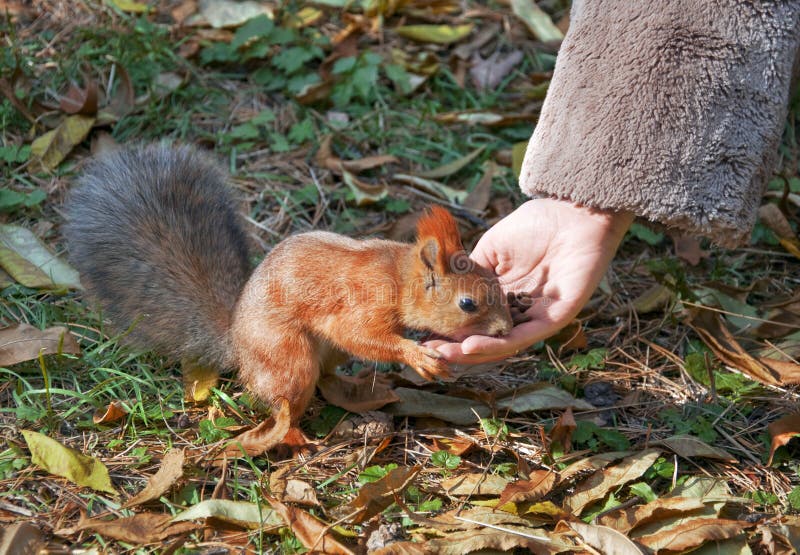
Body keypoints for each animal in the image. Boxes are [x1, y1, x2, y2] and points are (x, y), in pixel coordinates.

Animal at [64, 144, 513, 433]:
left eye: (497, 284)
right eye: (467, 303)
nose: (506, 329)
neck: (397, 278)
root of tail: (237, 342)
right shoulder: (362, 300)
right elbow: (358, 334)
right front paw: (416, 355)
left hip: (323, 355)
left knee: (326, 380)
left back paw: (361, 393)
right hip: (286, 354)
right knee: (285, 398)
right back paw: (290, 435)